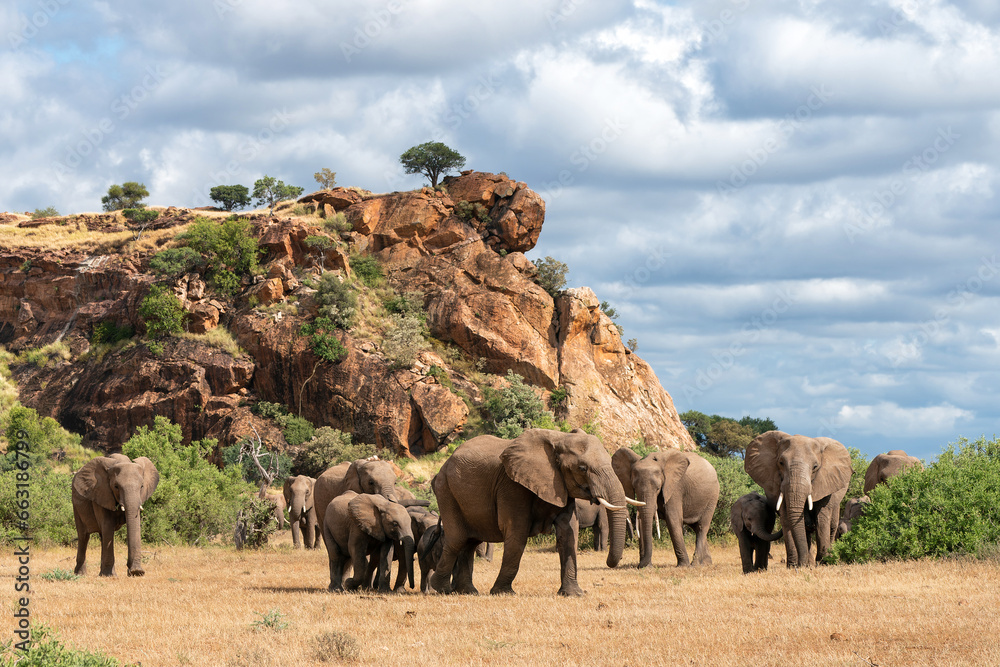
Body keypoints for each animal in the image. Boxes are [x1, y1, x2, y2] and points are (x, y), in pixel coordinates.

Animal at [430, 428, 637, 596]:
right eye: (582, 468)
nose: (610, 562)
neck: (559, 438)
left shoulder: (561, 486)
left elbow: (569, 533)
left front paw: (574, 594)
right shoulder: (512, 485)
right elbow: (517, 533)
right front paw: (503, 593)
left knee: (470, 542)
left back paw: (468, 592)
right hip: (446, 490)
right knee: (457, 539)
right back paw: (441, 589)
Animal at [744, 431, 853, 568]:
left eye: (815, 466)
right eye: (781, 463)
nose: (801, 564)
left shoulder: (825, 482)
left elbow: (821, 518)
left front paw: (823, 562)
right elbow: (787, 518)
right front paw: (793, 566)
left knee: (831, 526)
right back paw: (809, 562)